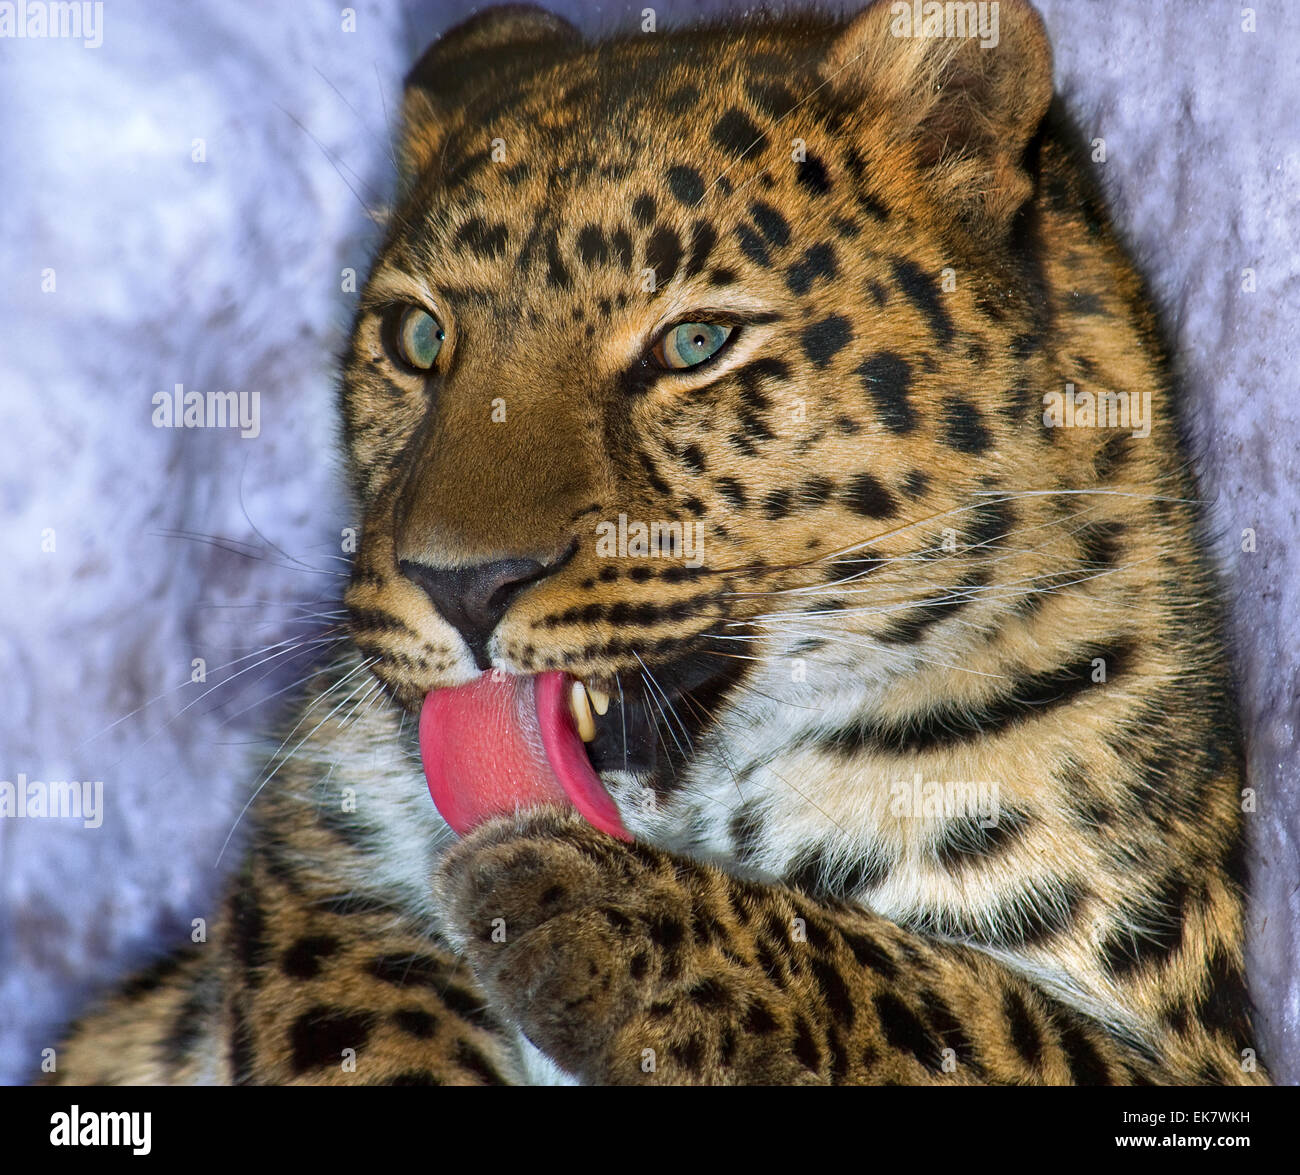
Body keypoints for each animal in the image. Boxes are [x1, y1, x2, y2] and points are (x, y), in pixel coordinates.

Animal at [43, 0, 1269, 1086]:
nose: (461, 585)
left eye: (694, 343)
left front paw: (579, 907)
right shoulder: (319, 858)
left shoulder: (1190, 1044)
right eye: (419, 337)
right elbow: (355, 1012)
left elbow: (940, 1003)